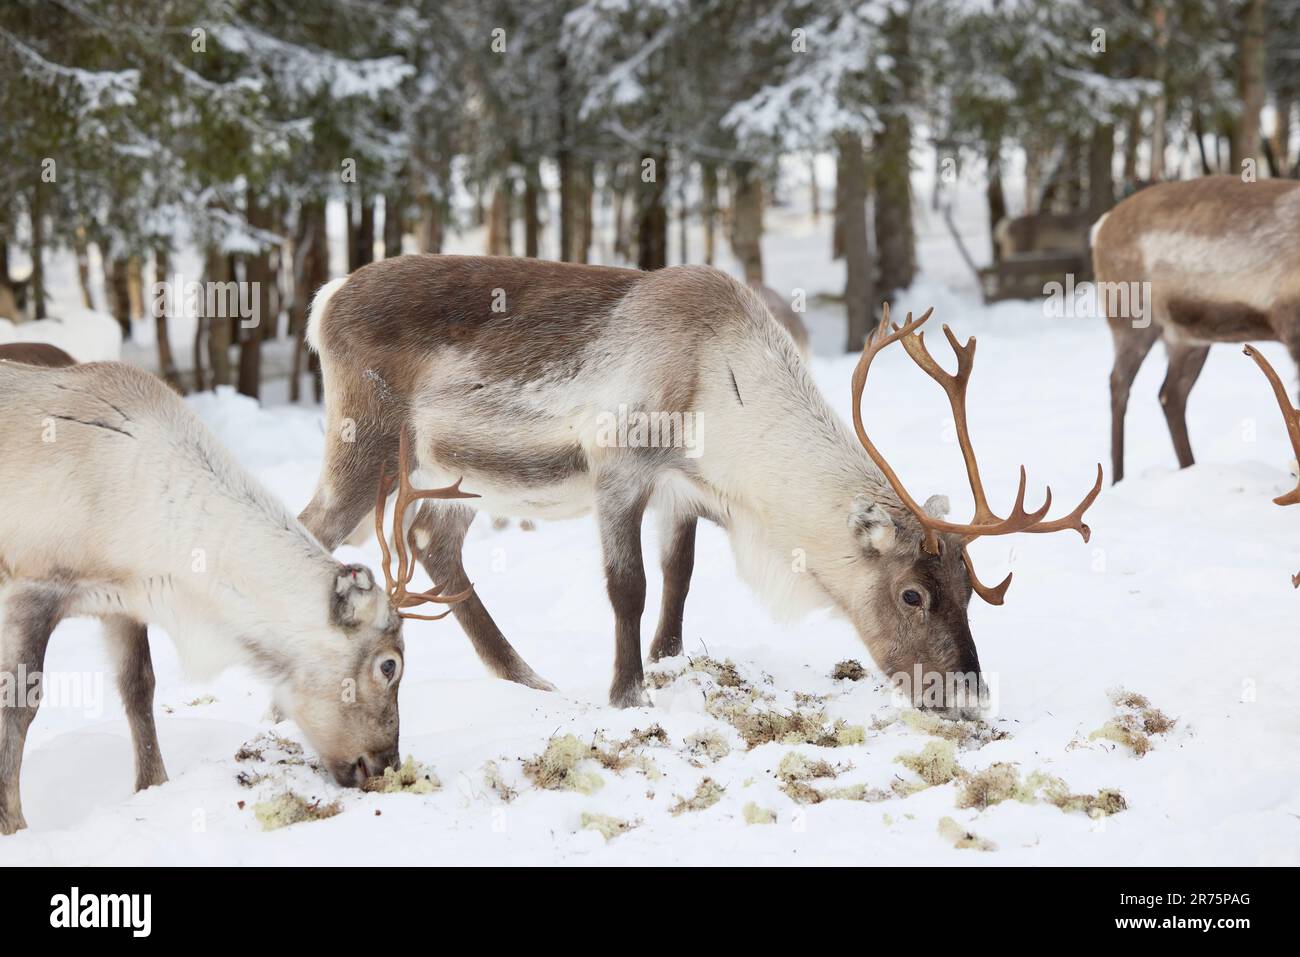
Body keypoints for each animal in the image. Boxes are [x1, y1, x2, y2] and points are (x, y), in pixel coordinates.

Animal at [0, 359, 469, 835]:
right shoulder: (33, 585)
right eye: (389, 665)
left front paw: (152, 785)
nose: (385, 763)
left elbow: (139, 689)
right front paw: (13, 823)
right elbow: (21, 702)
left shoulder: (124, 604)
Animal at [299, 254, 1100, 713]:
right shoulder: (618, 462)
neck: (718, 388)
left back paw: (526, 678)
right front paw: (627, 694)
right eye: (912, 593)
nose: (967, 695)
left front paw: (665, 663)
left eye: (969, 588)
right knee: (313, 526)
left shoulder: (682, 492)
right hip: (369, 439)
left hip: (460, 474)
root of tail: (323, 298)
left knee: (433, 541)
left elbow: (678, 580)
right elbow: (629, 587)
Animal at [1095, 175, 1300, 483]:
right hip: (1131, 321)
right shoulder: (1291, 325)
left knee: (1170, 394)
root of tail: (1101, 226)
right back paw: (1117, 479)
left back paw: (1189, 468)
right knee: (1119, 384)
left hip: (1187, 338)